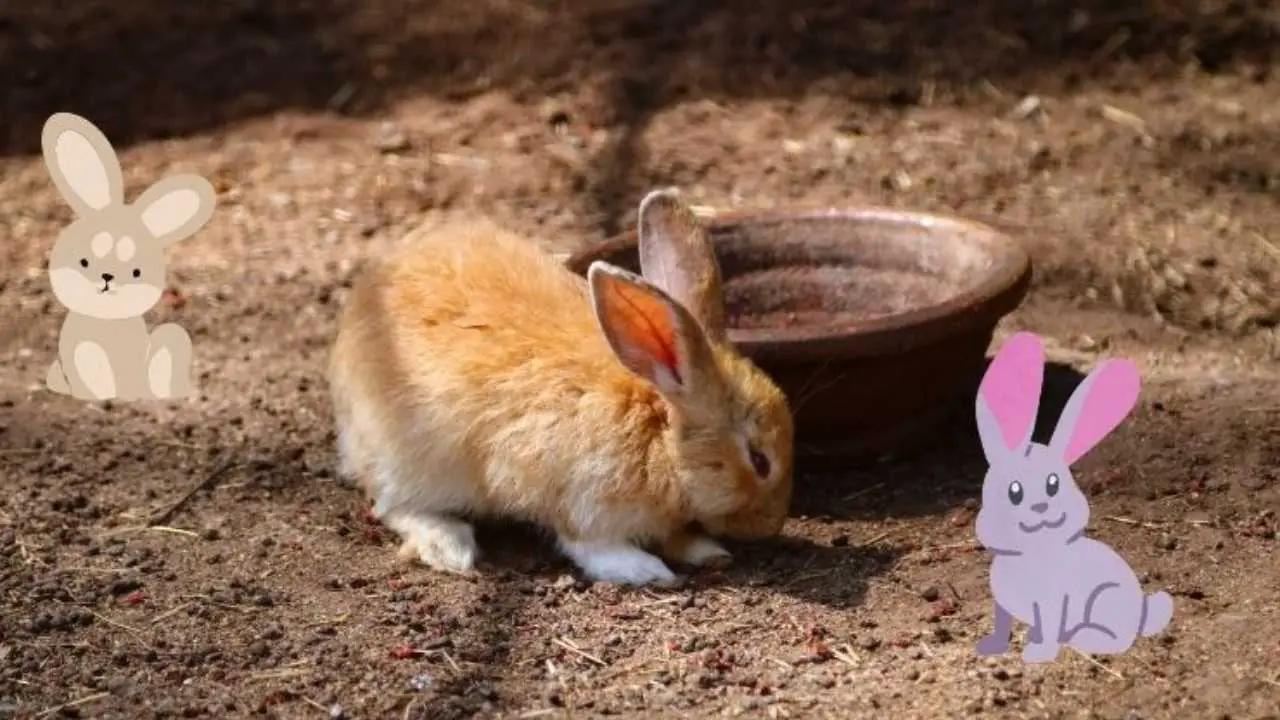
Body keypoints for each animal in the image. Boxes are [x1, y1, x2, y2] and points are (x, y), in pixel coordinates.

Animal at [327, 189, 795, 586]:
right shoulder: (572, 492)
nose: (770, 524)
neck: (661, 433)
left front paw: (704, 550)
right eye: (759, 460)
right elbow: (588, 543)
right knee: (392, 505)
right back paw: (449, 547)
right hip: (410, 462)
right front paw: (645, 569)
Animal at [973, 331, 1174, 663]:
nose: (1040, 506)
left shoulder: (1056, 602)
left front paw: (1036, 655)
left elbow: (1051, 627)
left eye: (1053, 485)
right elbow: (1002, 628)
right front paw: (992, 647)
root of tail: (1143, 615)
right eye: (1014, 491)